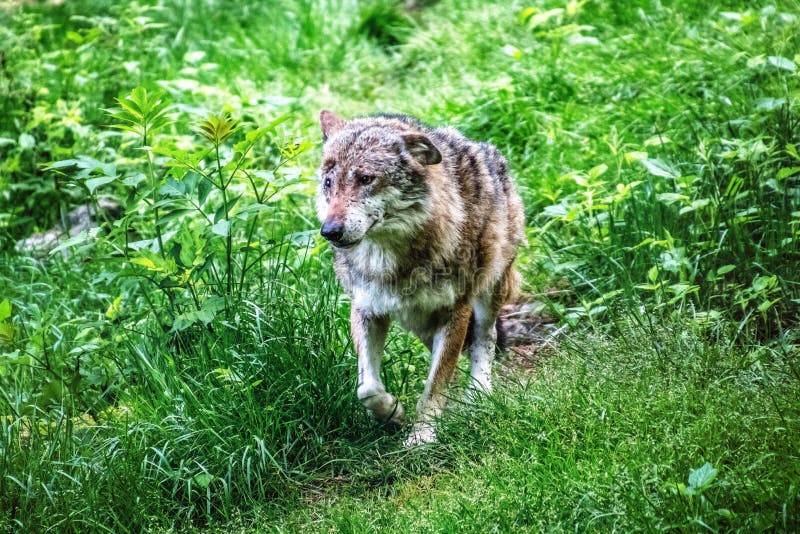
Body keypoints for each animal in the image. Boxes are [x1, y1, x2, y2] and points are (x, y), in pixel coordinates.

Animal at [316, 110, 525, 446]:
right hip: (422, 324)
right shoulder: (366, 310)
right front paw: (392, 413)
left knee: (485, 338)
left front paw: (422, 436)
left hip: (488, 289)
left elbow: (435, 382)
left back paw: (479, 396)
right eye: (328, 183)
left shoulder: (456, 311)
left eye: (366, 179)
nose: (330, 231)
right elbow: (367, 387)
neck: (391, 260)